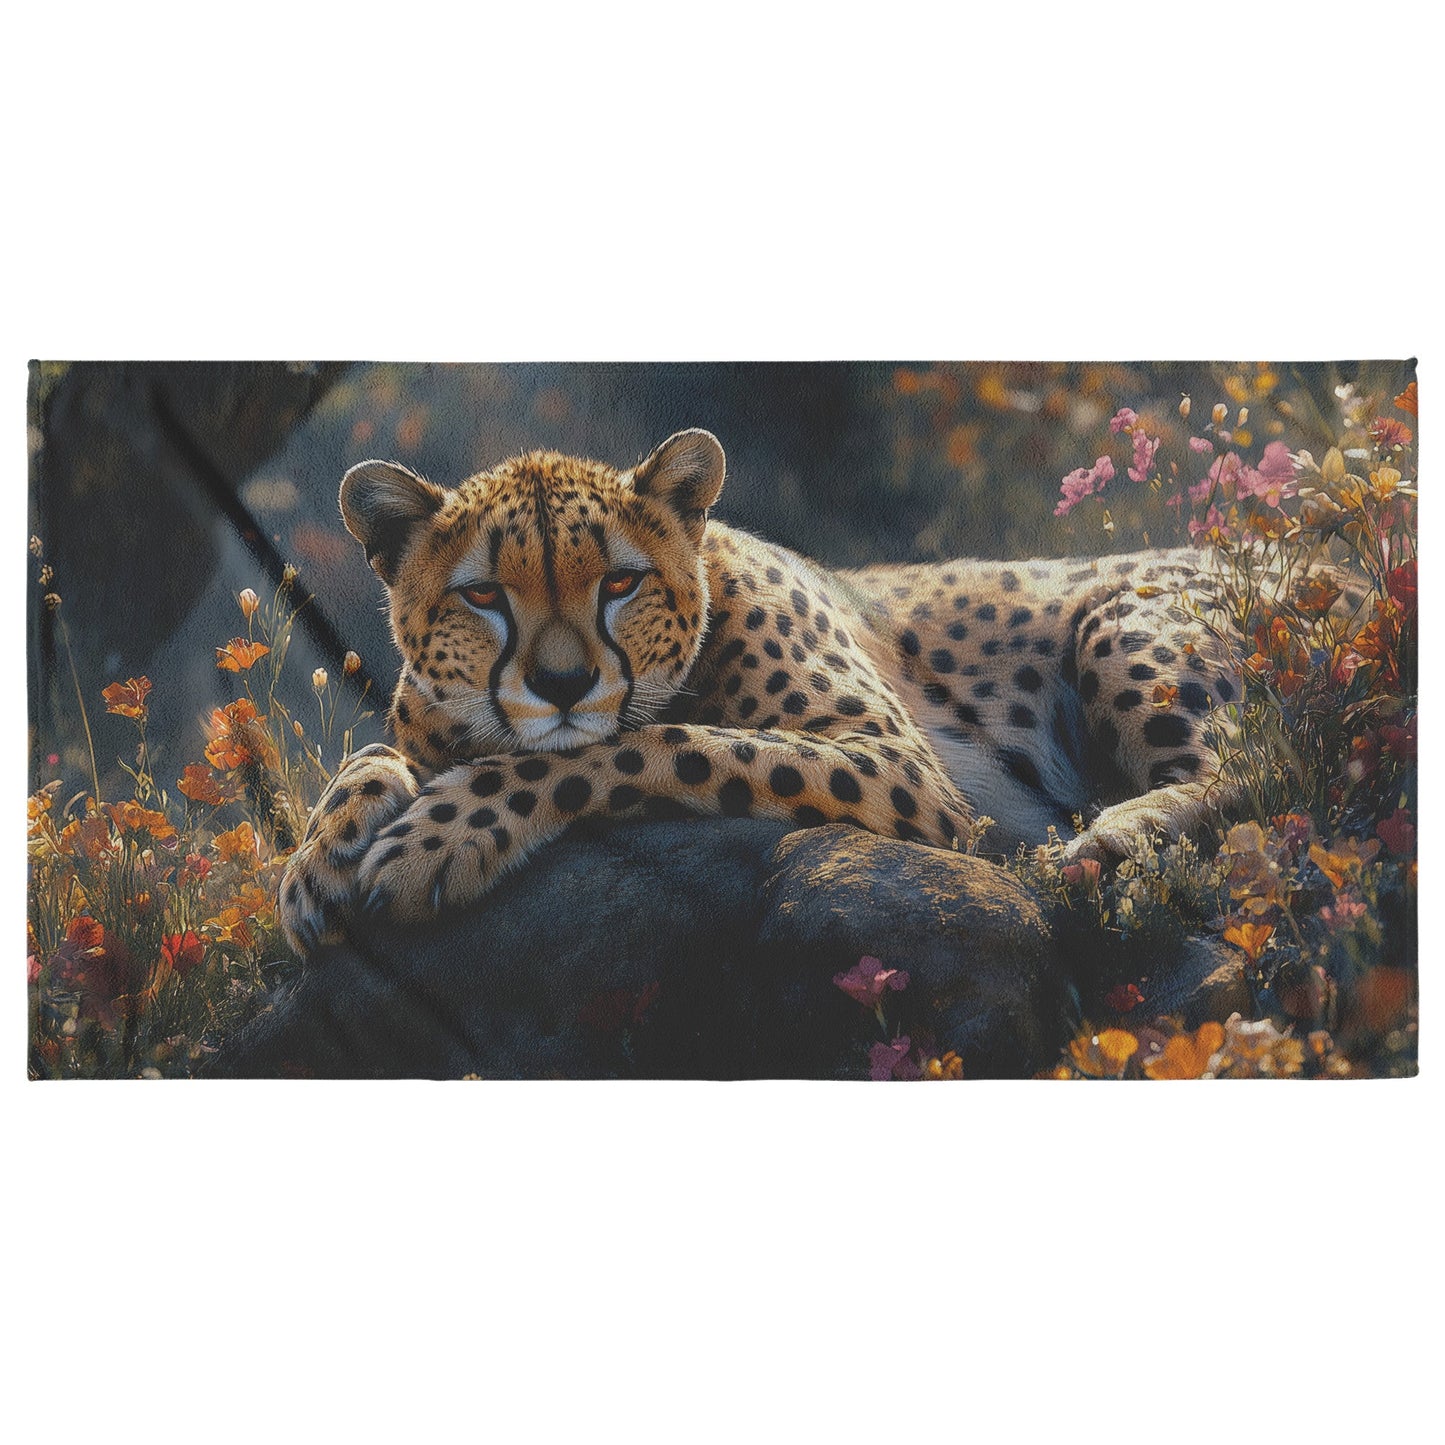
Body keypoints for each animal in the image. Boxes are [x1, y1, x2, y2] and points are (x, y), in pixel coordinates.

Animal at [280, 427, 1258, 956]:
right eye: (483, 595)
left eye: (620, 582)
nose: (562, 683)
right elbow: (374, 751)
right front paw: (315, 863)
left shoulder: (899, 765)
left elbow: (644, 744)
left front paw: (438, 836)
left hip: (1119, 615)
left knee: (1252, 772)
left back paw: (1112, 835)